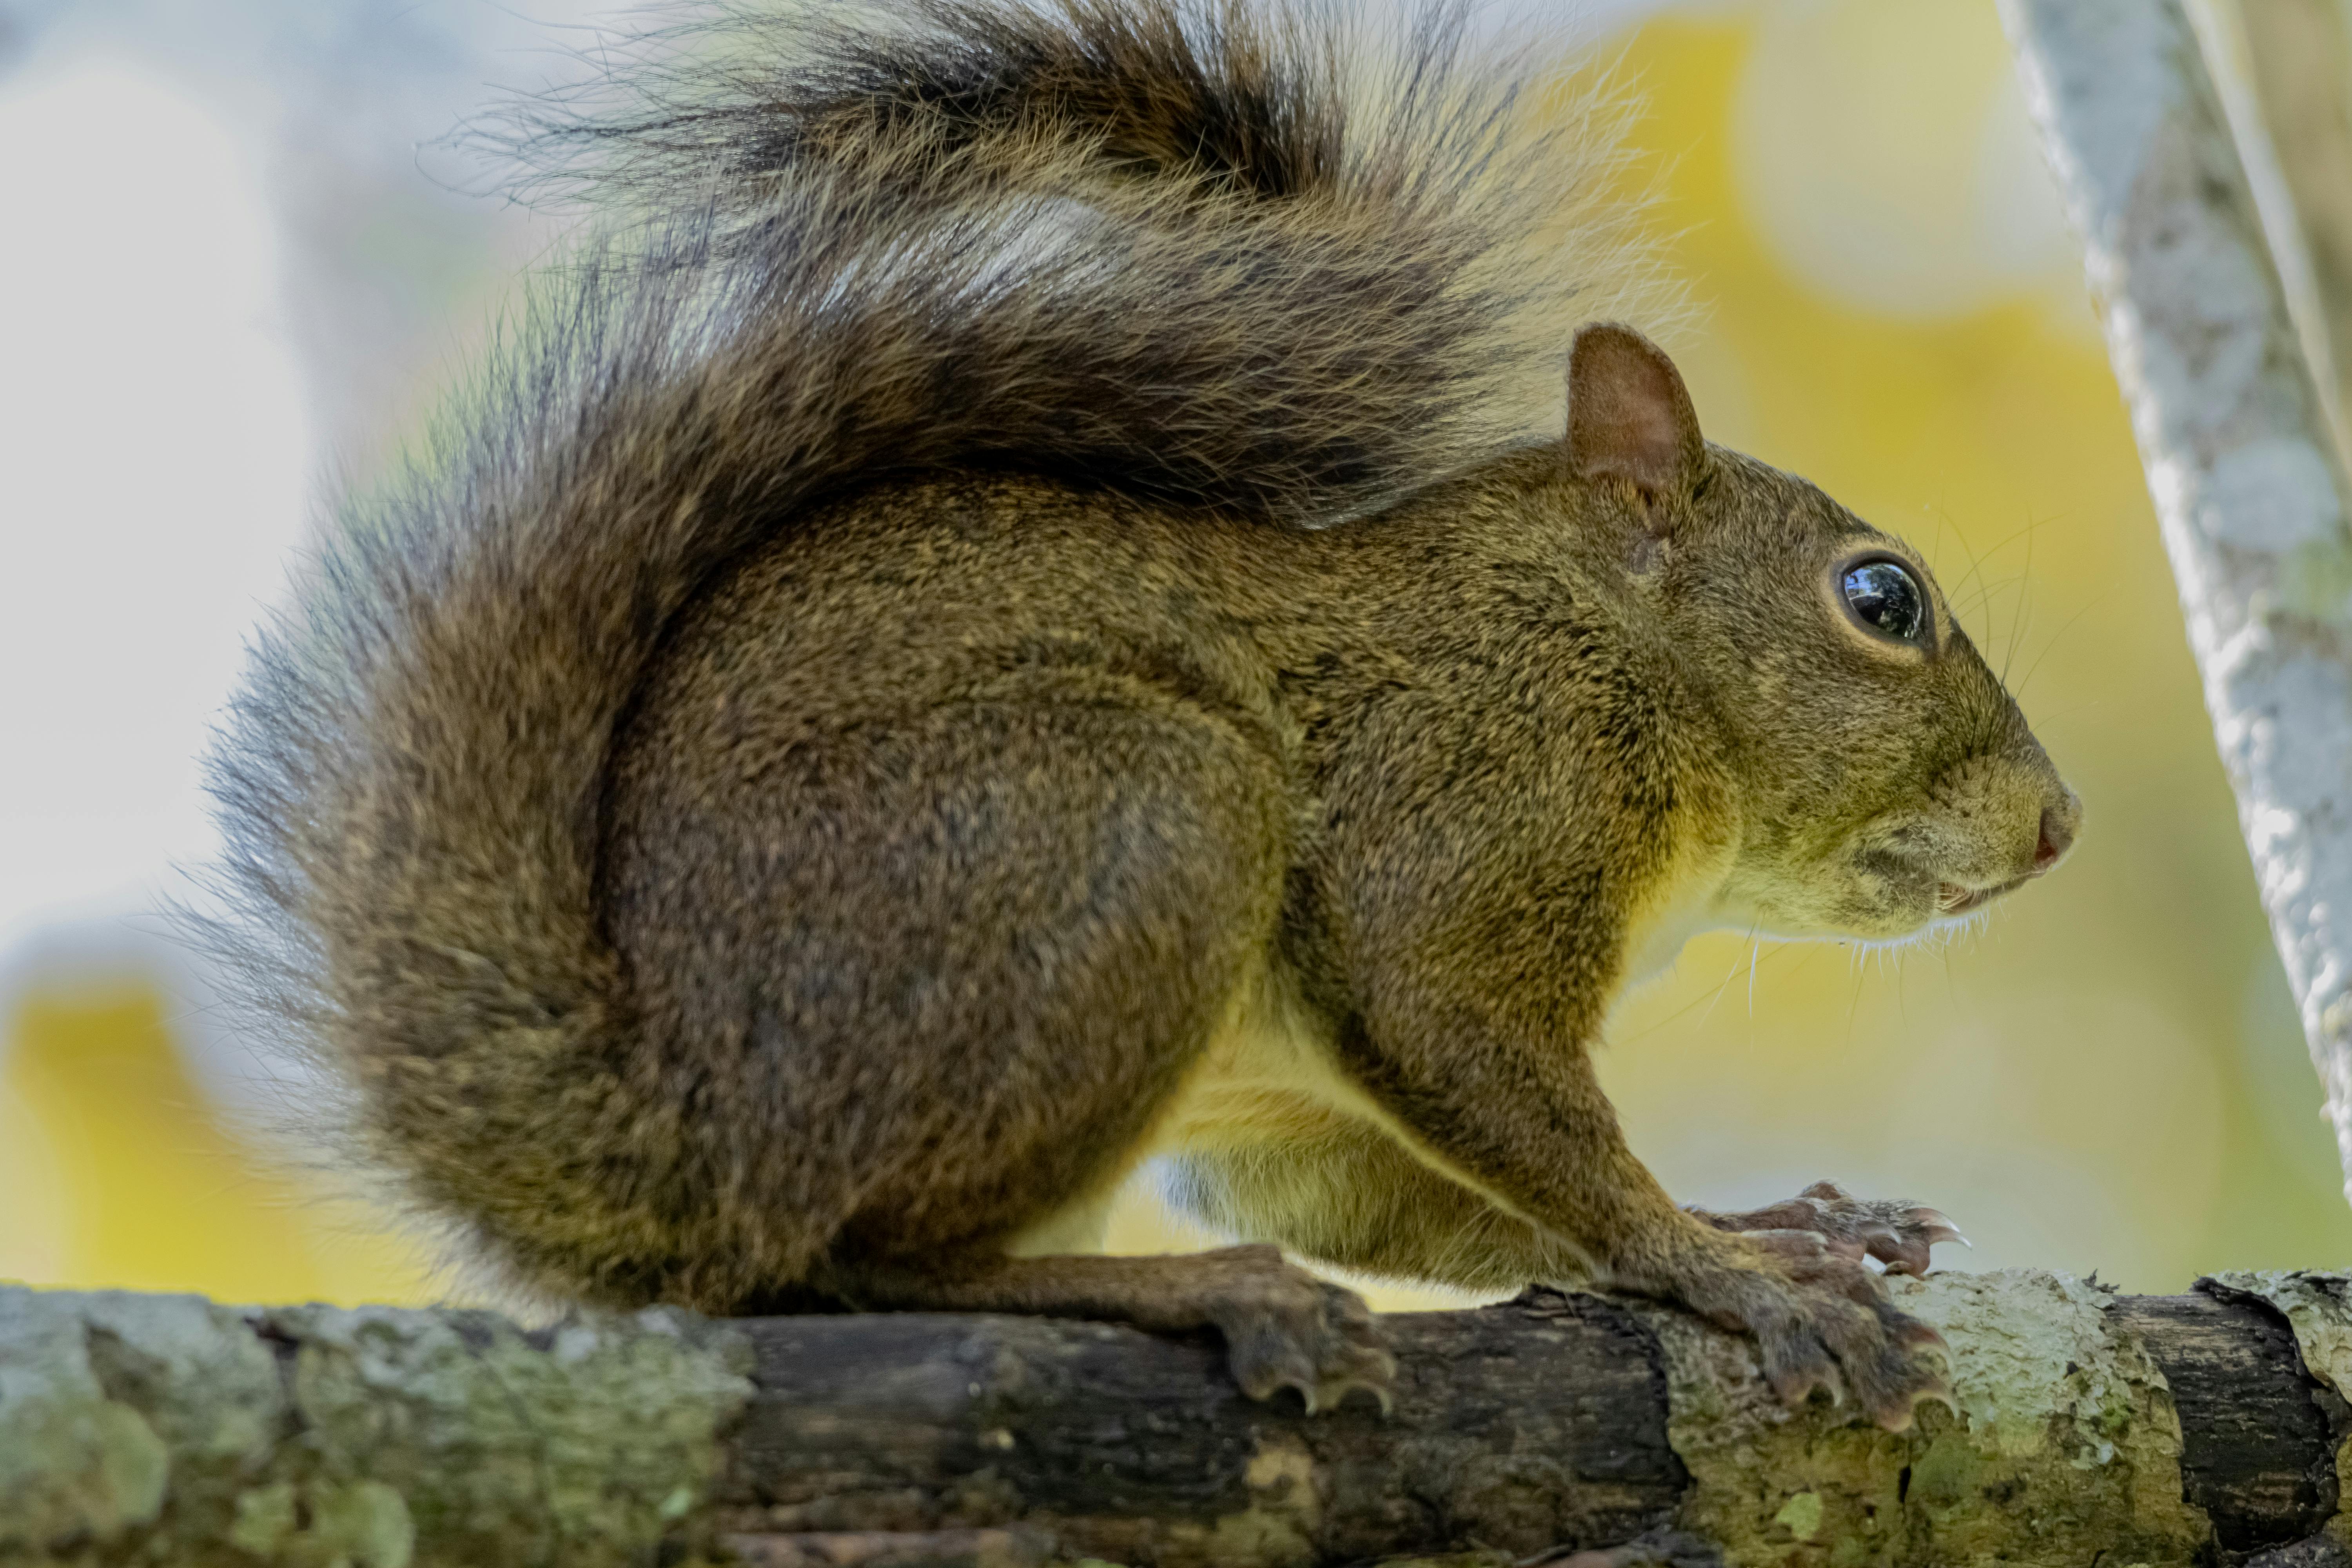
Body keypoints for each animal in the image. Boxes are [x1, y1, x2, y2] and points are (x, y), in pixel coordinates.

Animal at [201, 0, 2079, 1430]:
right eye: (1880, 600)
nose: (2059, 824)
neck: (1590, 649)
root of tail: (681, 1133)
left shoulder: (1293, 1110)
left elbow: (1425, 1200)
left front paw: (1773, 1226)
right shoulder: (1457, 810)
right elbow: (1494, 1082)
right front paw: (1738, 1276)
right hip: (1137, 812)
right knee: (852, 1261)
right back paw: (1186, 1297)